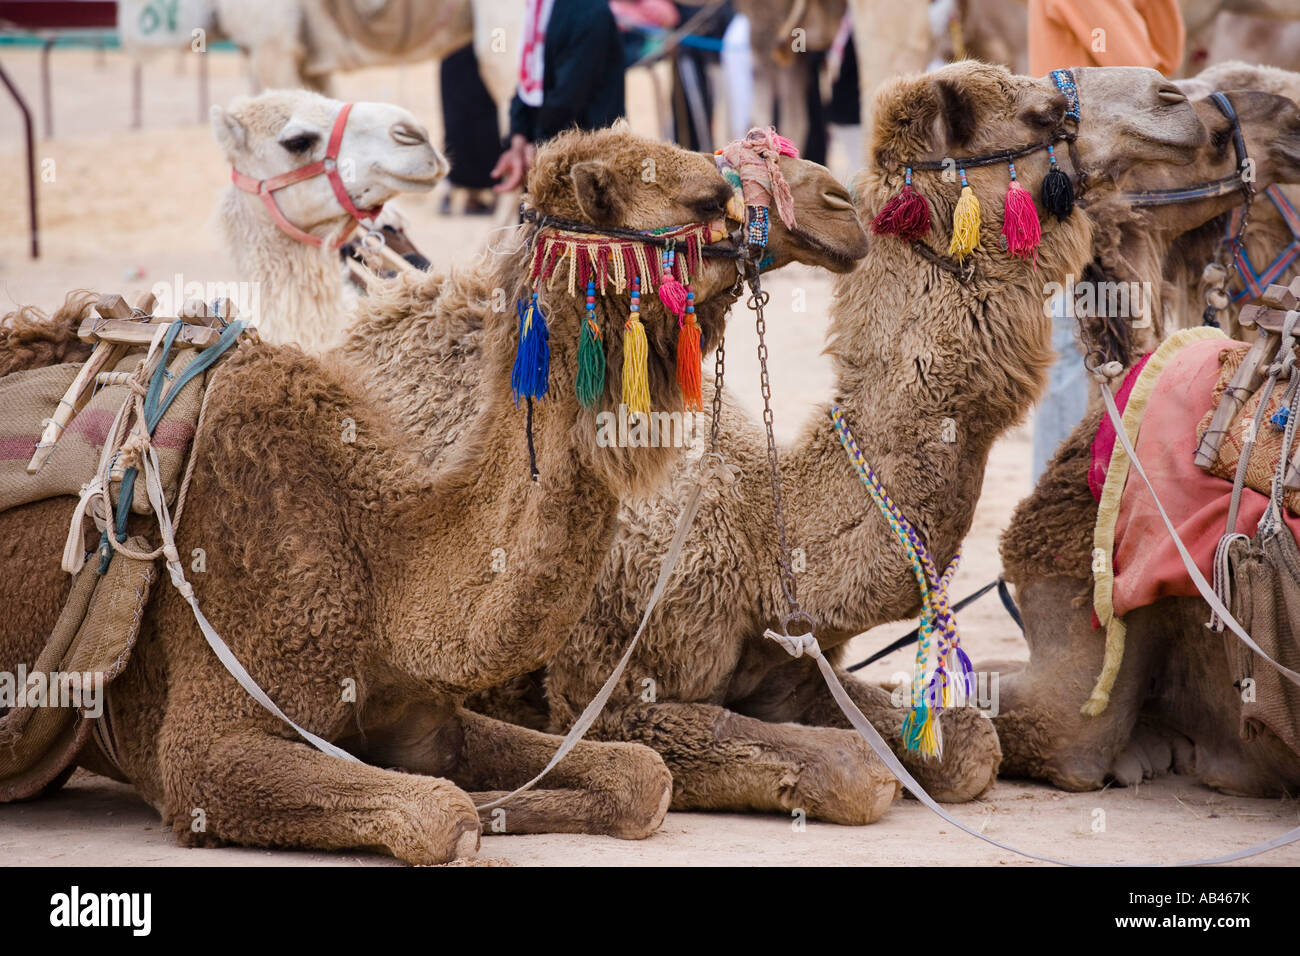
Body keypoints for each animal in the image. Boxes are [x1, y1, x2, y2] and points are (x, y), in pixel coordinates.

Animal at [0, 127, 869, 863]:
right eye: (704, 196)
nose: (841, 204)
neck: (380, 565)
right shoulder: (203, 751)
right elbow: (441, 813)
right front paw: (480, 810)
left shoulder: (421, 714)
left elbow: (638, 776)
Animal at [463, 63, 1261, 825]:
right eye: (1042, 115)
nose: (1185, 101)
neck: (763, 541)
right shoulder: (606, 687)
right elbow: (850, 768)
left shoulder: (793, 664)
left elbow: (971, 744)